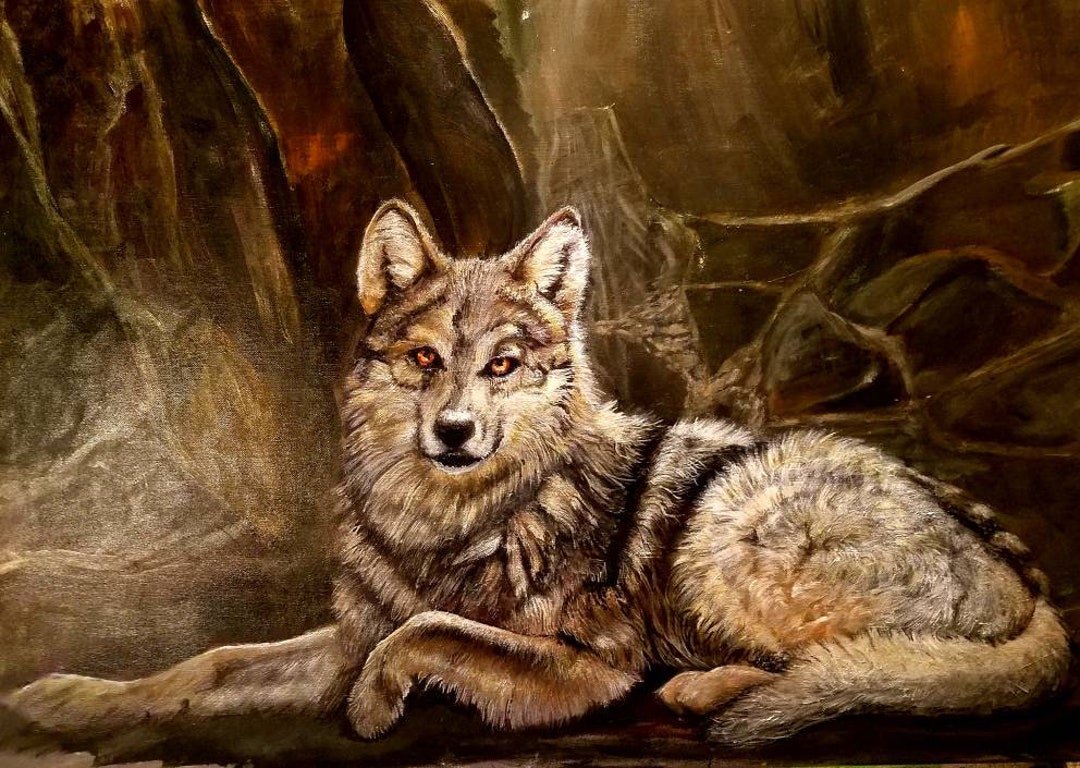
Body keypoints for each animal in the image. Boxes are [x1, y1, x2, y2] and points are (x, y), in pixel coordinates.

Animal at [4, 201, 1072, 748]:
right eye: (427, 359)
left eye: (503, 366)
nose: (455, 432)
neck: (451, 521)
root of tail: (1029, 584)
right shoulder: (345, 634)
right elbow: (207, 664)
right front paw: (70, 700)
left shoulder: (585, 668)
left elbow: (431, 632)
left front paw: (374, 707)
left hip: (721, 530)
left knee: (839, 669)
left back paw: (707, 695)